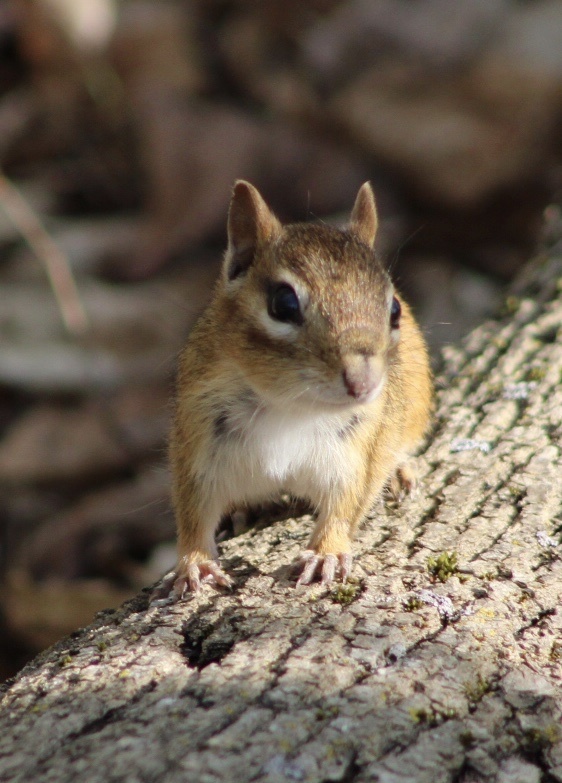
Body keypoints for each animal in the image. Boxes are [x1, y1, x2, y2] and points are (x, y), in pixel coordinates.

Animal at [157, 180, 433, 599]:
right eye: (283, 304)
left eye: (395, 310)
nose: (364, 383)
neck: (291, 407)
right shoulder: (198, 441)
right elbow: (192, 511)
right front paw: (194, 562)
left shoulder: (358, 451)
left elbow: (346, 505)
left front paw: (325, 553)